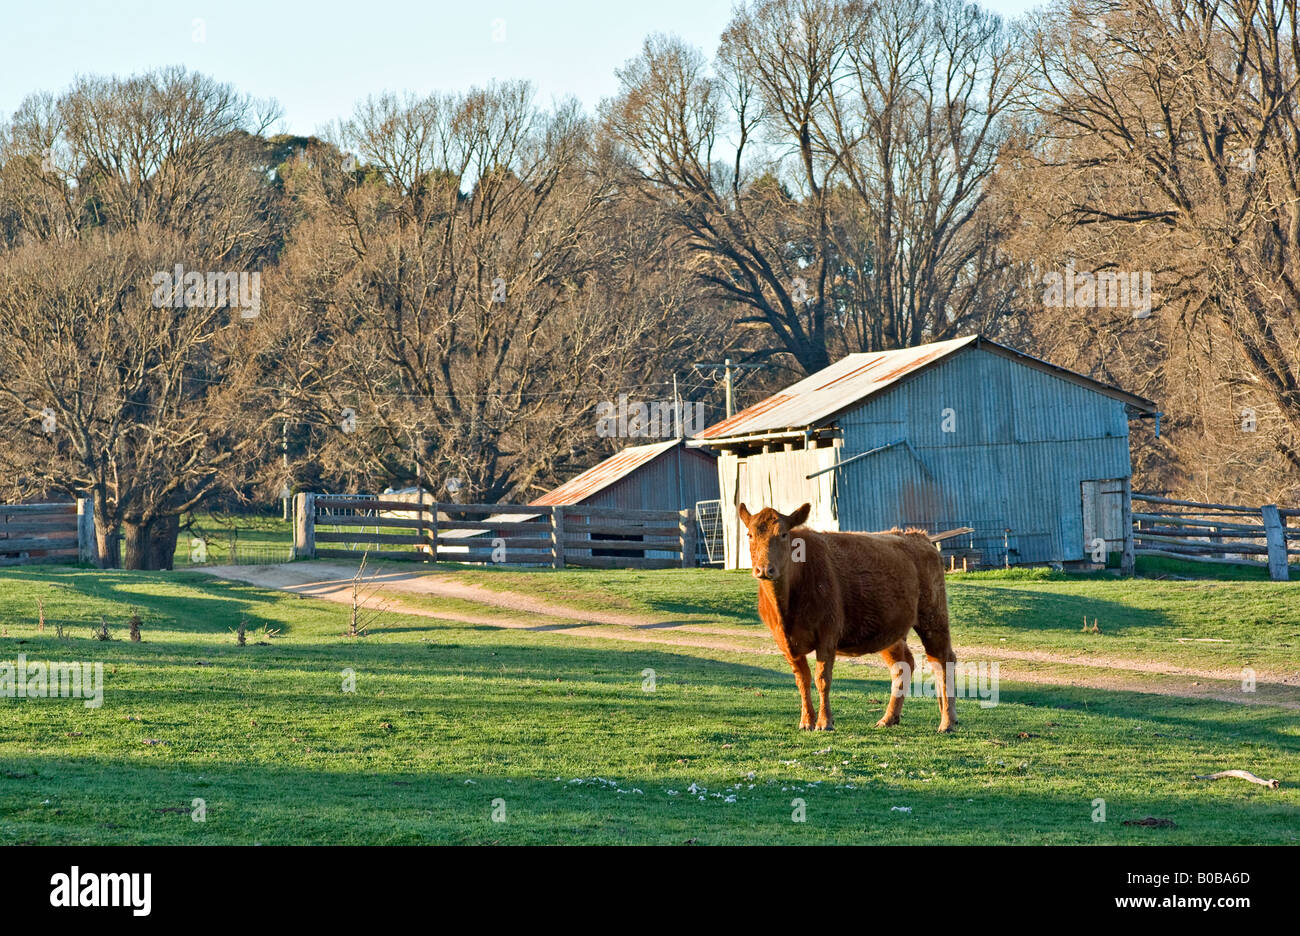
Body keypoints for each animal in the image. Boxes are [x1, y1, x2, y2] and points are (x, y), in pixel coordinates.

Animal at [738, 502, 957, 732]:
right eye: (750, 534)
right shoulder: (784, 642)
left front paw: (825, 722)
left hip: (933, 616)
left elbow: (822, 678)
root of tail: (918, 537)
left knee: (942, 660)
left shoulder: (828, 634)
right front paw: (806, 721)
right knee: (903, 665)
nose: (764, 569)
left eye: (783, 534)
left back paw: (947, 722)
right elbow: (802, 679)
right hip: (890, 631)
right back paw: (889, 718)